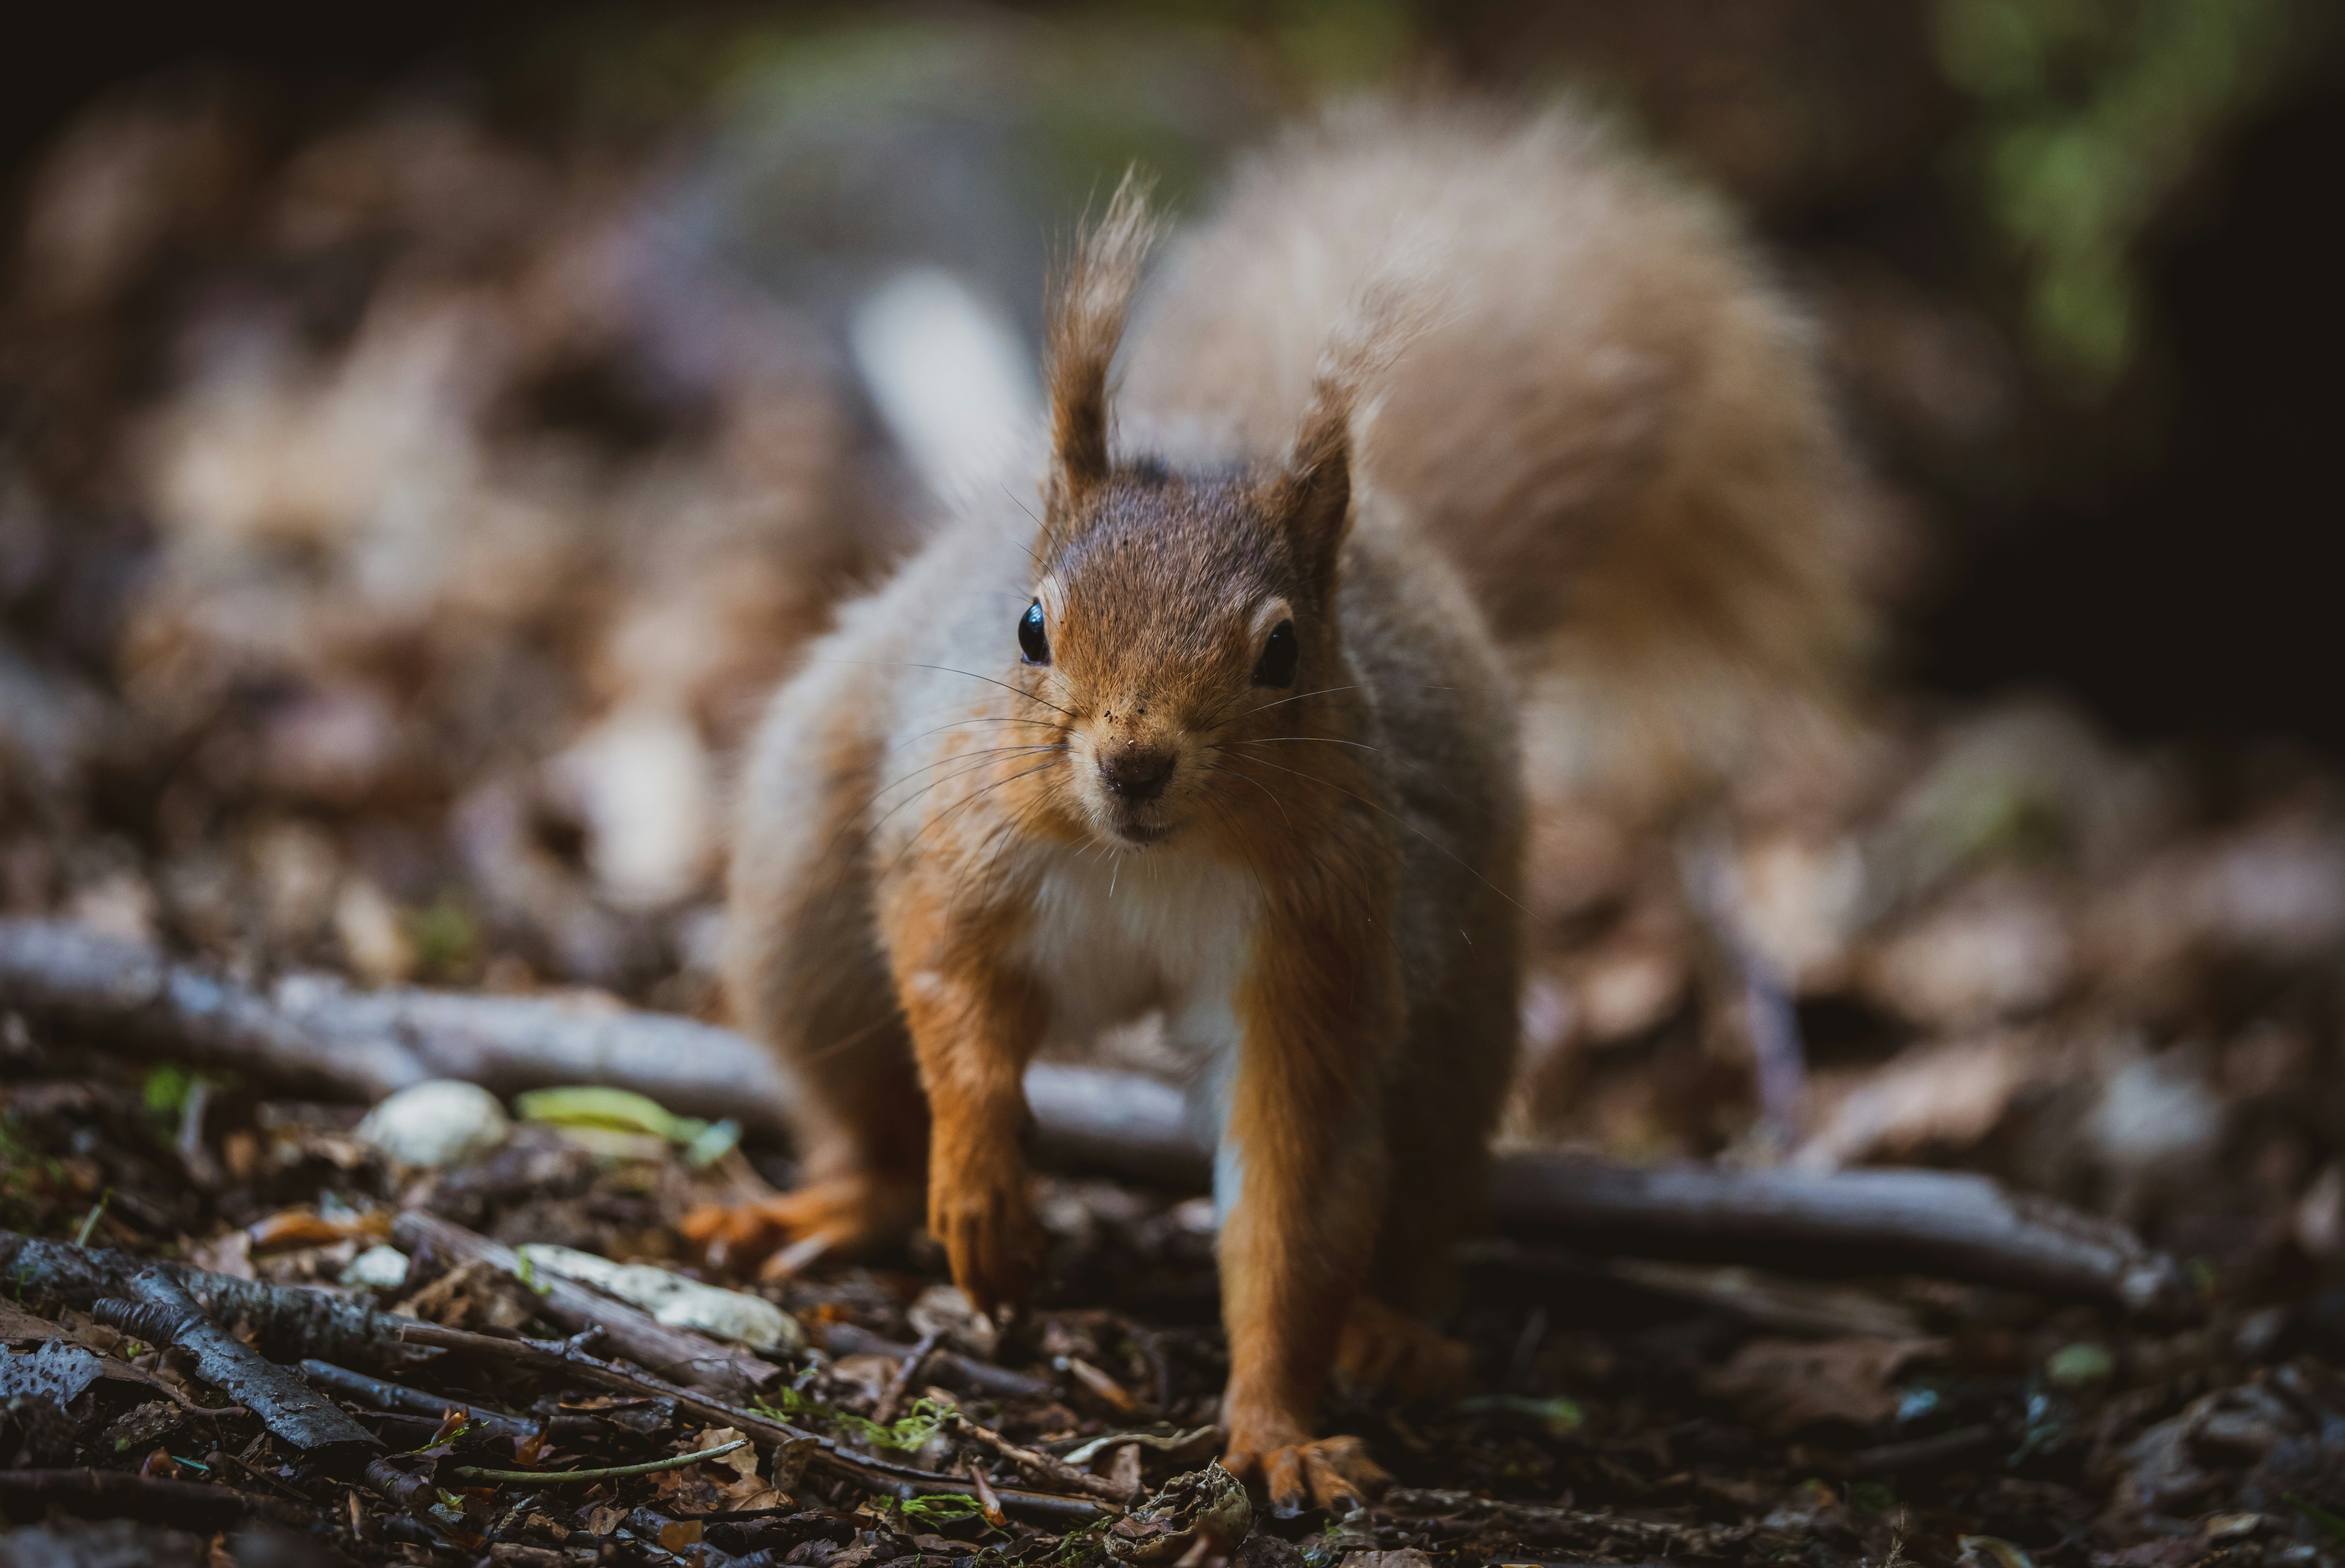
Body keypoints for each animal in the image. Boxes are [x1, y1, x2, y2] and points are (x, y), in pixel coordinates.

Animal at [684, 100, 1868, 1512]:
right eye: (1030, 627)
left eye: (1283, 653)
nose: (1133, 763)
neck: (1149, 859)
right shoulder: (963, 846)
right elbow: (951, 994)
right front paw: (978, 1193)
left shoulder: (1320, 942)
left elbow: (1290, 1189)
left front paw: (1275, 1428)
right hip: (804, 902)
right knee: (858, 1085)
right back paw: (842, 1201)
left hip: (1455, 1022)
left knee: (1414, 1178)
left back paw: (1397, 1331)